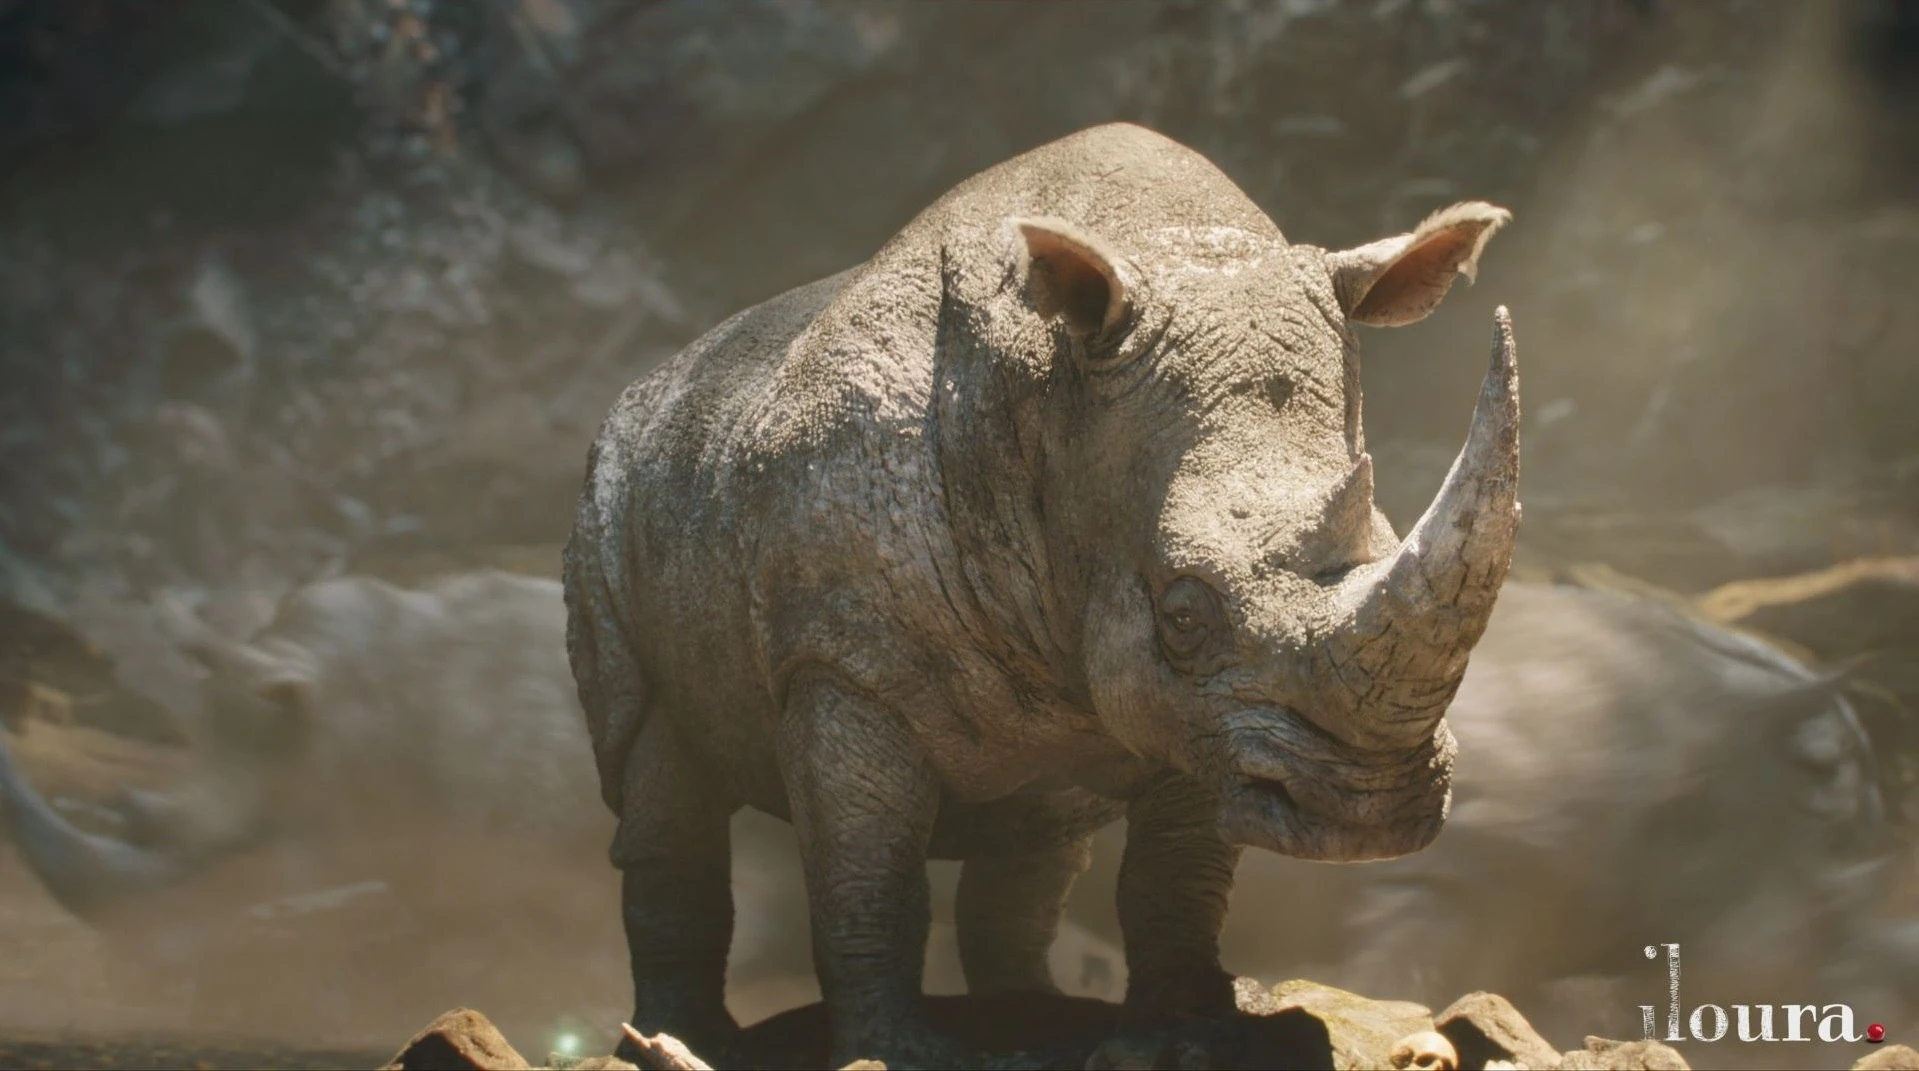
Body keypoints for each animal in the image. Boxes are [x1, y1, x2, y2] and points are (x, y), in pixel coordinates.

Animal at [563, 121, 1522, 1066]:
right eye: (1183, 615)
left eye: (1385, 546)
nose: (1369, 811)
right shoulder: (840, 656)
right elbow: (865, 871)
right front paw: (901, 1053)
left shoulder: (1207, 720)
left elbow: (1173, 878)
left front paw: (1180, 1035)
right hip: (608, 490)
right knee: (656, 778)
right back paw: (677, 1039)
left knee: (1034, 834)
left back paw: (1035, 1014)